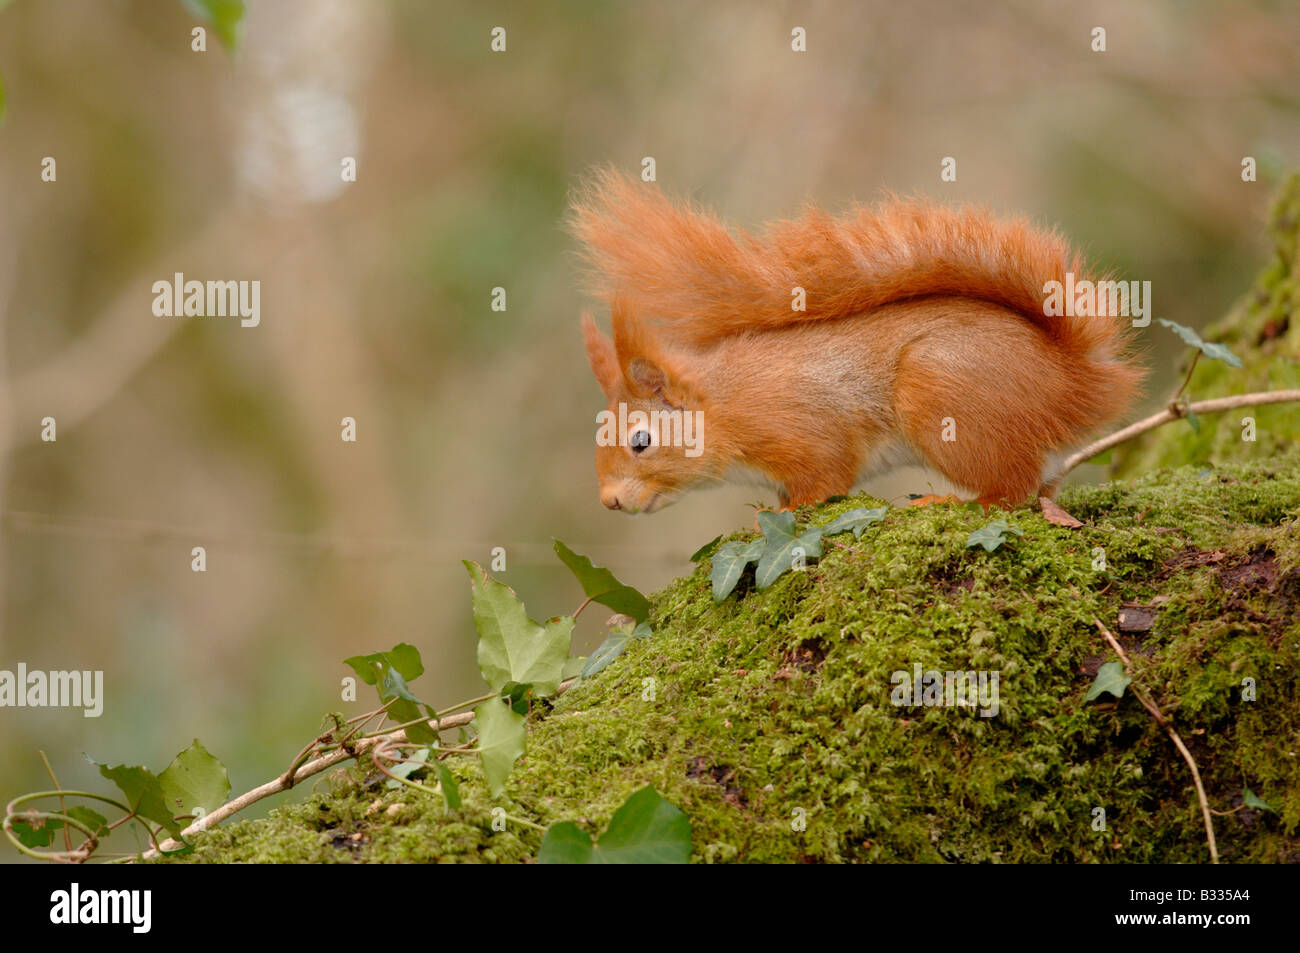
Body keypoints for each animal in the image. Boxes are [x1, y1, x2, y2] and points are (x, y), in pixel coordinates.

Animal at [571, 168, 1145, 514]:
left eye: (640, 441)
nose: (609, 502)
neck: (726, 408)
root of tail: (1074, 384)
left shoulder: (801, 432)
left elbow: (824, 480)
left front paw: (776, 516)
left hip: (946, 395)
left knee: (1010, 492)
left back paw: (949, 504)